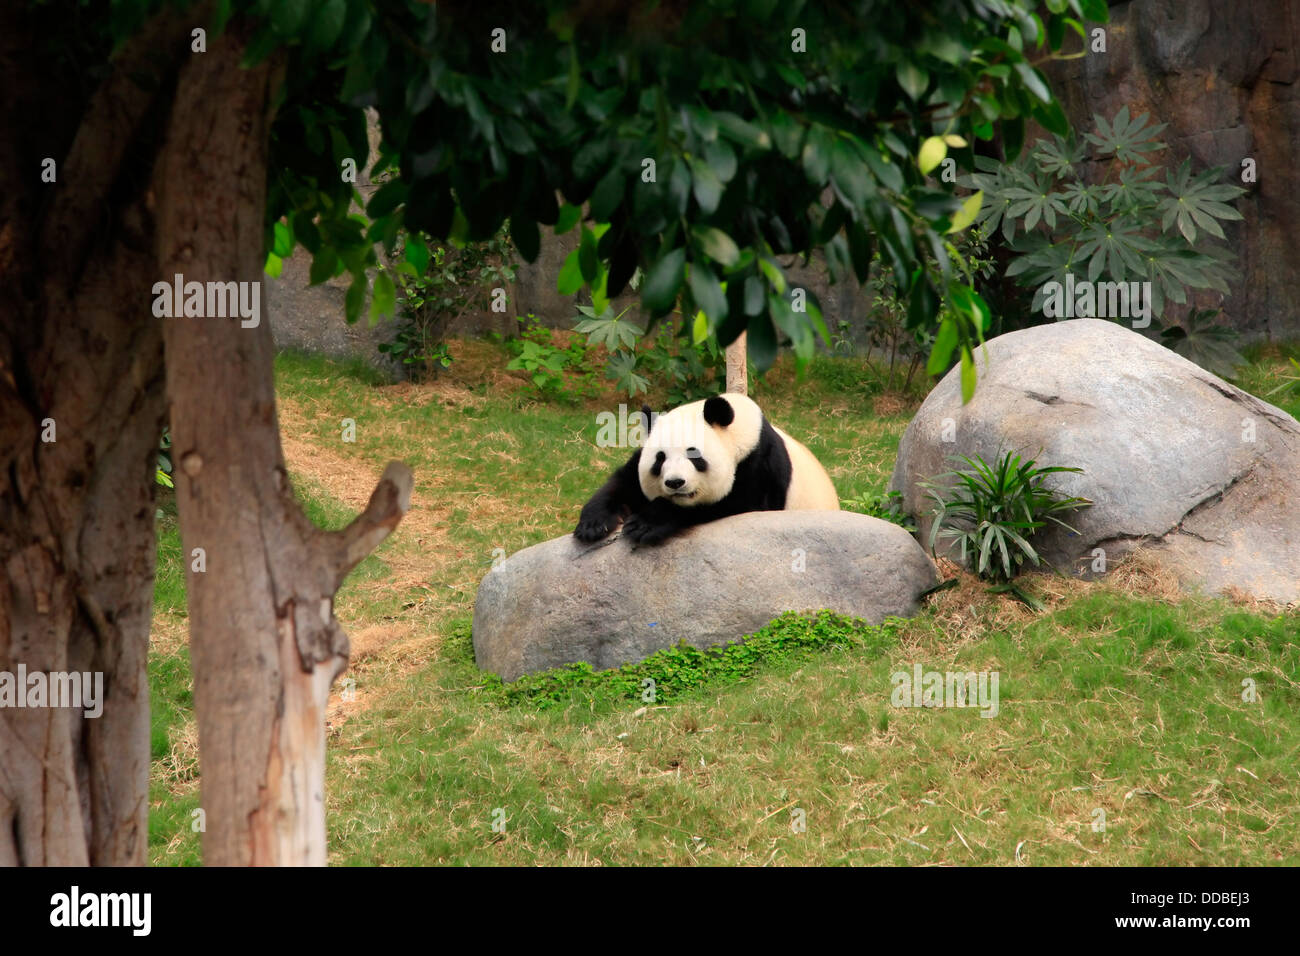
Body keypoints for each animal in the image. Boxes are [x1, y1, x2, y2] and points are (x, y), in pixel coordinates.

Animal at [574, 393, 839, 546]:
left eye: (694, 456)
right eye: (660, 459)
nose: (675, 483)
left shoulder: (759, 464)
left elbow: (732, 504)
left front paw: (646, 524)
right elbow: (624, 483)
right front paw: (593, 524)